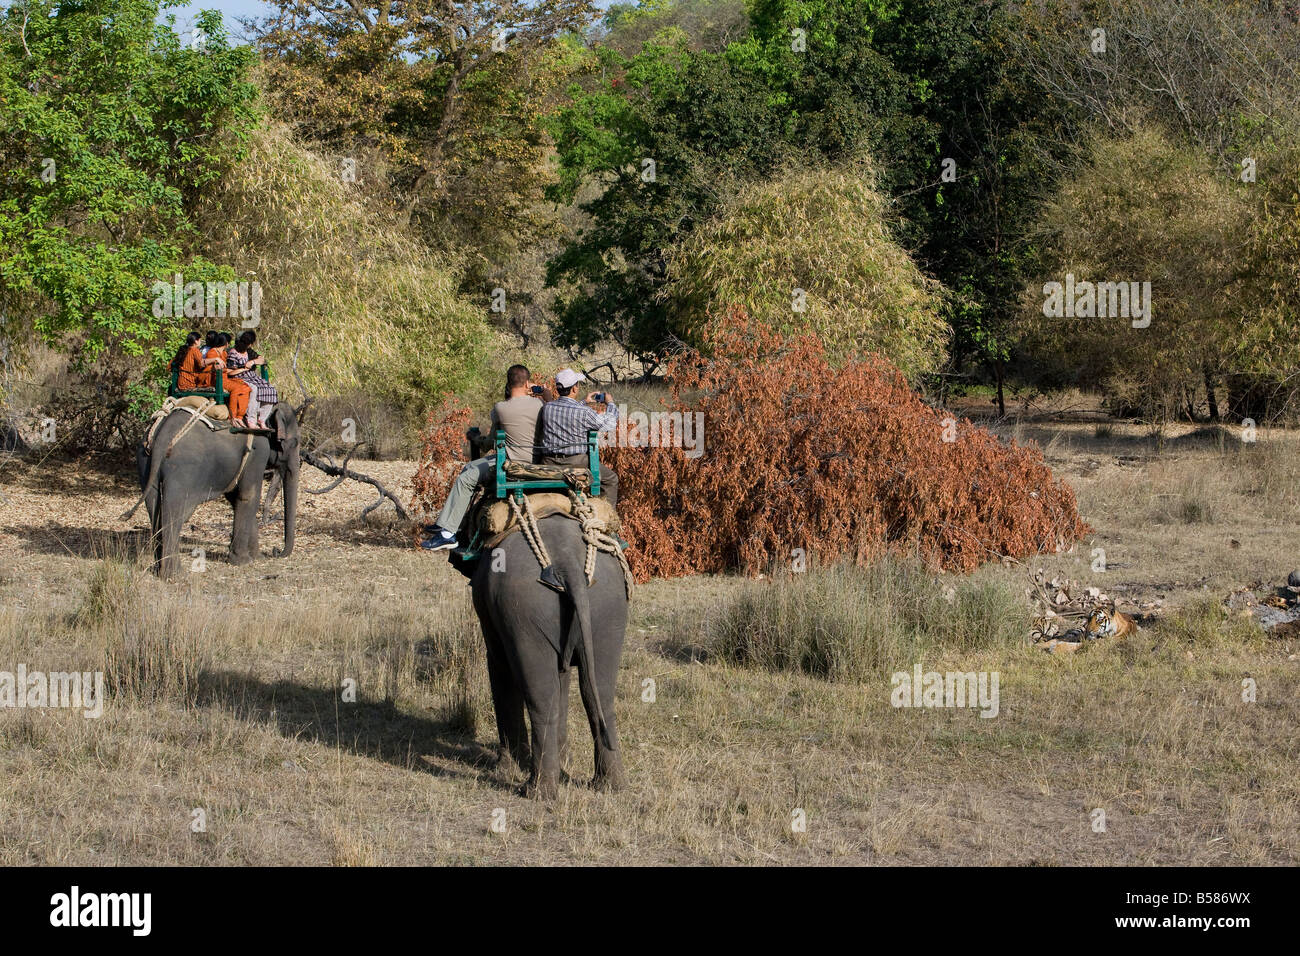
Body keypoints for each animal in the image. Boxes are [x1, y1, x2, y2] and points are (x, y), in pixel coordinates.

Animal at [136, 401, 301, 579]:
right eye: (294, 443)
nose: (275, 551)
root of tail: (162, 435)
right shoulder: (258, 452)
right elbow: (248, 496)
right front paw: (242, 562)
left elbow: (235, 499)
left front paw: (257, 558)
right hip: (182, 471)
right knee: (176, 513)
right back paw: (174, 574)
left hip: (145, 463)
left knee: (154, 508)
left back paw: (158, 570)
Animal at [468, 514, 630, 799]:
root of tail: (568, 562)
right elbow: (562, 676)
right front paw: (565, 762)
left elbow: (499, 668)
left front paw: (506, 770)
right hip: (609, 608)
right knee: (598, 692)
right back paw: (610, 785)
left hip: (524, 608)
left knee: (540, 696)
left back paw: (536, 791)